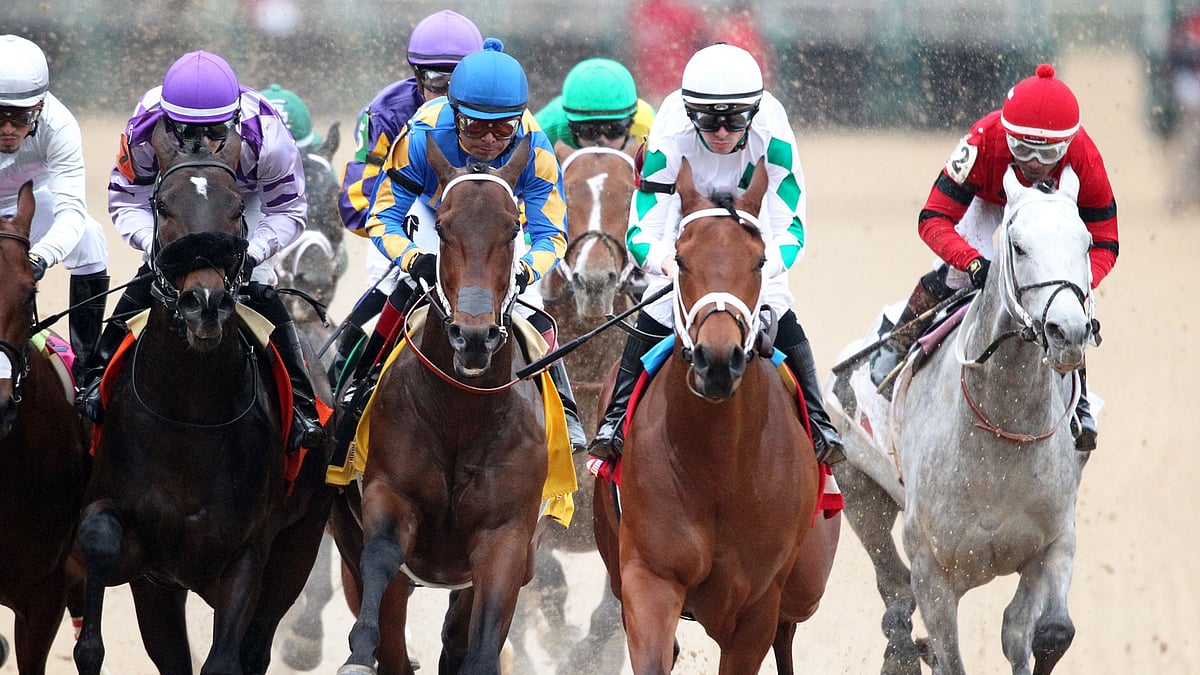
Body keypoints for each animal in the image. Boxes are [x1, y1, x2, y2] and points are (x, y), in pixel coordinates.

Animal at [72, 121, 335, 675]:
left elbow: (226, 656)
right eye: (163, 205)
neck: (187, 421)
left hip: (298, 545)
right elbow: (99, 539)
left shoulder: (246, 557)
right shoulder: (144, 559)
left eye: (236, 207)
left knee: (259, 640)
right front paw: (89, 647)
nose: (205, 303)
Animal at [329, 135, 551, 675]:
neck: (462, 416)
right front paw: (359, 653)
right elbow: (382, 560)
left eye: (513, 227)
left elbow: (480, 641)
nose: (473, 337)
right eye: (444, 229)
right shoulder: (389, 494)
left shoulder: (506, 535)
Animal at [592, 158, 840, 674]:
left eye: (760, 261)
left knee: (788, 633)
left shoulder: (756, 604)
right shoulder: (649, 576)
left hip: (804, 585)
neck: (719, 467)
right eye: (682, 260)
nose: (718, 361)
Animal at [827, 166, 1094, 675]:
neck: (1002, 431)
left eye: (1087, 242)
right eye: (1018, 246)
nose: (1068, 332)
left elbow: (1047, 633)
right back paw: (902, 650)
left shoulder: (1054, 543)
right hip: (858, 490)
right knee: (893, 588)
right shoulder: (934, 573)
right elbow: (948, 652)